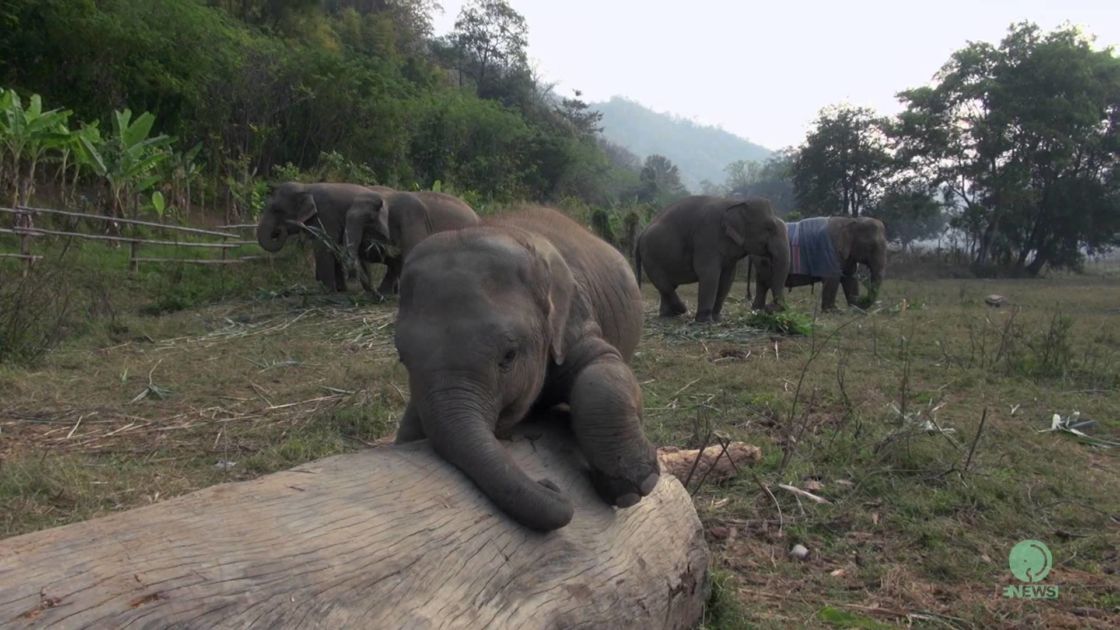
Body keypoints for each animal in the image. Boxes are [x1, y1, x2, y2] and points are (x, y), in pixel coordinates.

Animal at [256, 182, 389, 292]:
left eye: (276, 210)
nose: (279, 229)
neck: (305, 187)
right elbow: (333, 247)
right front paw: (340, 290)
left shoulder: (325, 215)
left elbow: (323, 247)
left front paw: (328, 291)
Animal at [344, 190, 480, 296]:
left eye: (369, 220)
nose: (376, 295)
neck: (387, 197)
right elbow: (394, 261)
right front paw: (385, 293)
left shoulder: (412, 221)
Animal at [393, 206, 660, 531]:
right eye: (402, 358)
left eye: (509, 355)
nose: (548, 483)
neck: (506, 230)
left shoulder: (574, 319)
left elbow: (601, 369)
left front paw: (635, 487)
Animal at [635, 195, 790, 322]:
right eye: (769, 228)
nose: (770, 307)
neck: (736, 202)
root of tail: (641, 233)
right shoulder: (706, 237)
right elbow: (709, 273)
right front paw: (705, 321)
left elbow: (728, 277)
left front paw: (717, 319)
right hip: (651, 256)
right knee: (664, 284)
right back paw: (681, 310)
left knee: (667, 286)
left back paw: (668, 315)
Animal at [749, 216, 887, 312]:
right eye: (871, 247)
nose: (862, 300)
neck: (851, 220)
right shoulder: (831, 252)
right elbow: (832, 278)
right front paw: (833, 311)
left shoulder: (847, 256)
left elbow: (849, 279)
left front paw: (854, 306)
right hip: (766, 260)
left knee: (763, 284)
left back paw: (757, 310)